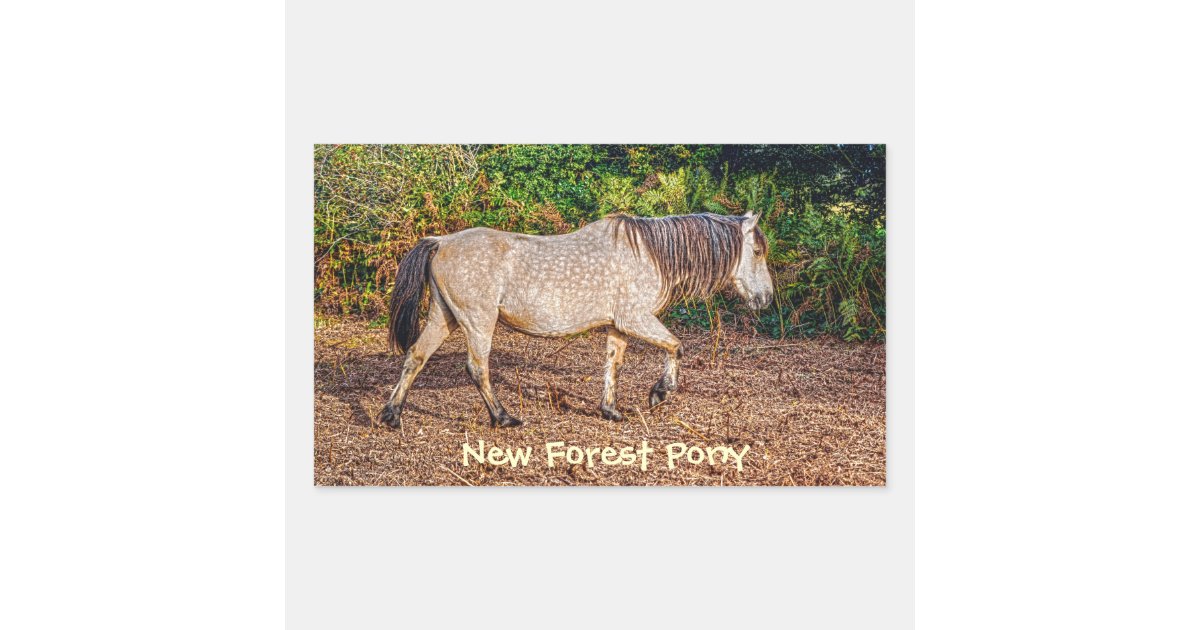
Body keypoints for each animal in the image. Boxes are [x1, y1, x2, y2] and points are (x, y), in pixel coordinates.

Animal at [379, 211, 774, 429]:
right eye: (756, 251)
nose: (766, 298)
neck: (649, 254)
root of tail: (441, 242)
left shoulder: (618, 326)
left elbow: (613, 365)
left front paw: (610, 410)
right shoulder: (636, 319)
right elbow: (676, 347)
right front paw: (659, 393)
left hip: (444, 317)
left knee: (415, 356)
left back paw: (391, 415)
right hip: (478, 322)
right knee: (477, 369)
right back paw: (503, 418)